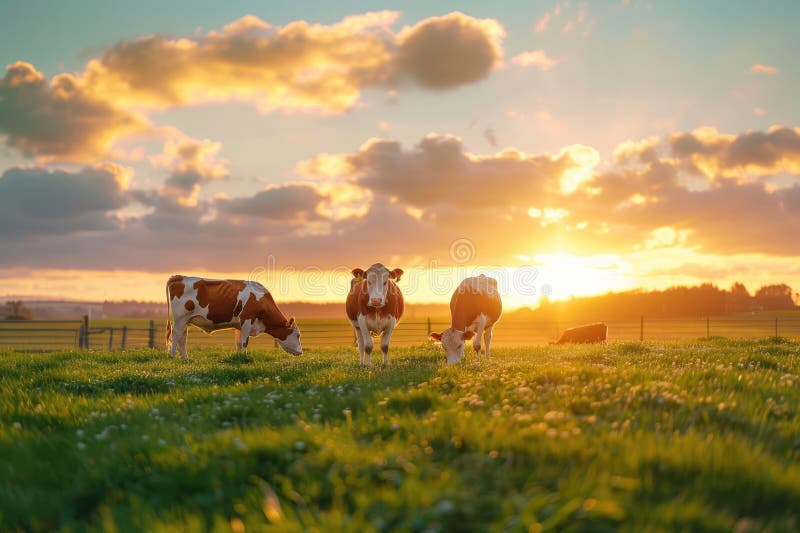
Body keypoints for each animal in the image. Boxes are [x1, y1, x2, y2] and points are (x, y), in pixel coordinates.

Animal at [165, 275, 302, 359]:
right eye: (298, 335)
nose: (301, 352)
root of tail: (179, 277)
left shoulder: (239, 325)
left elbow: (238, 343)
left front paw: (239, 357)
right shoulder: (247, 319)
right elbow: (244, 342)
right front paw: (244, 357)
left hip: (186, 320)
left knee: (182, 338)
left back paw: (185, 358)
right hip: (180, 319)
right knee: (176, 335)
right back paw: (172, 356)